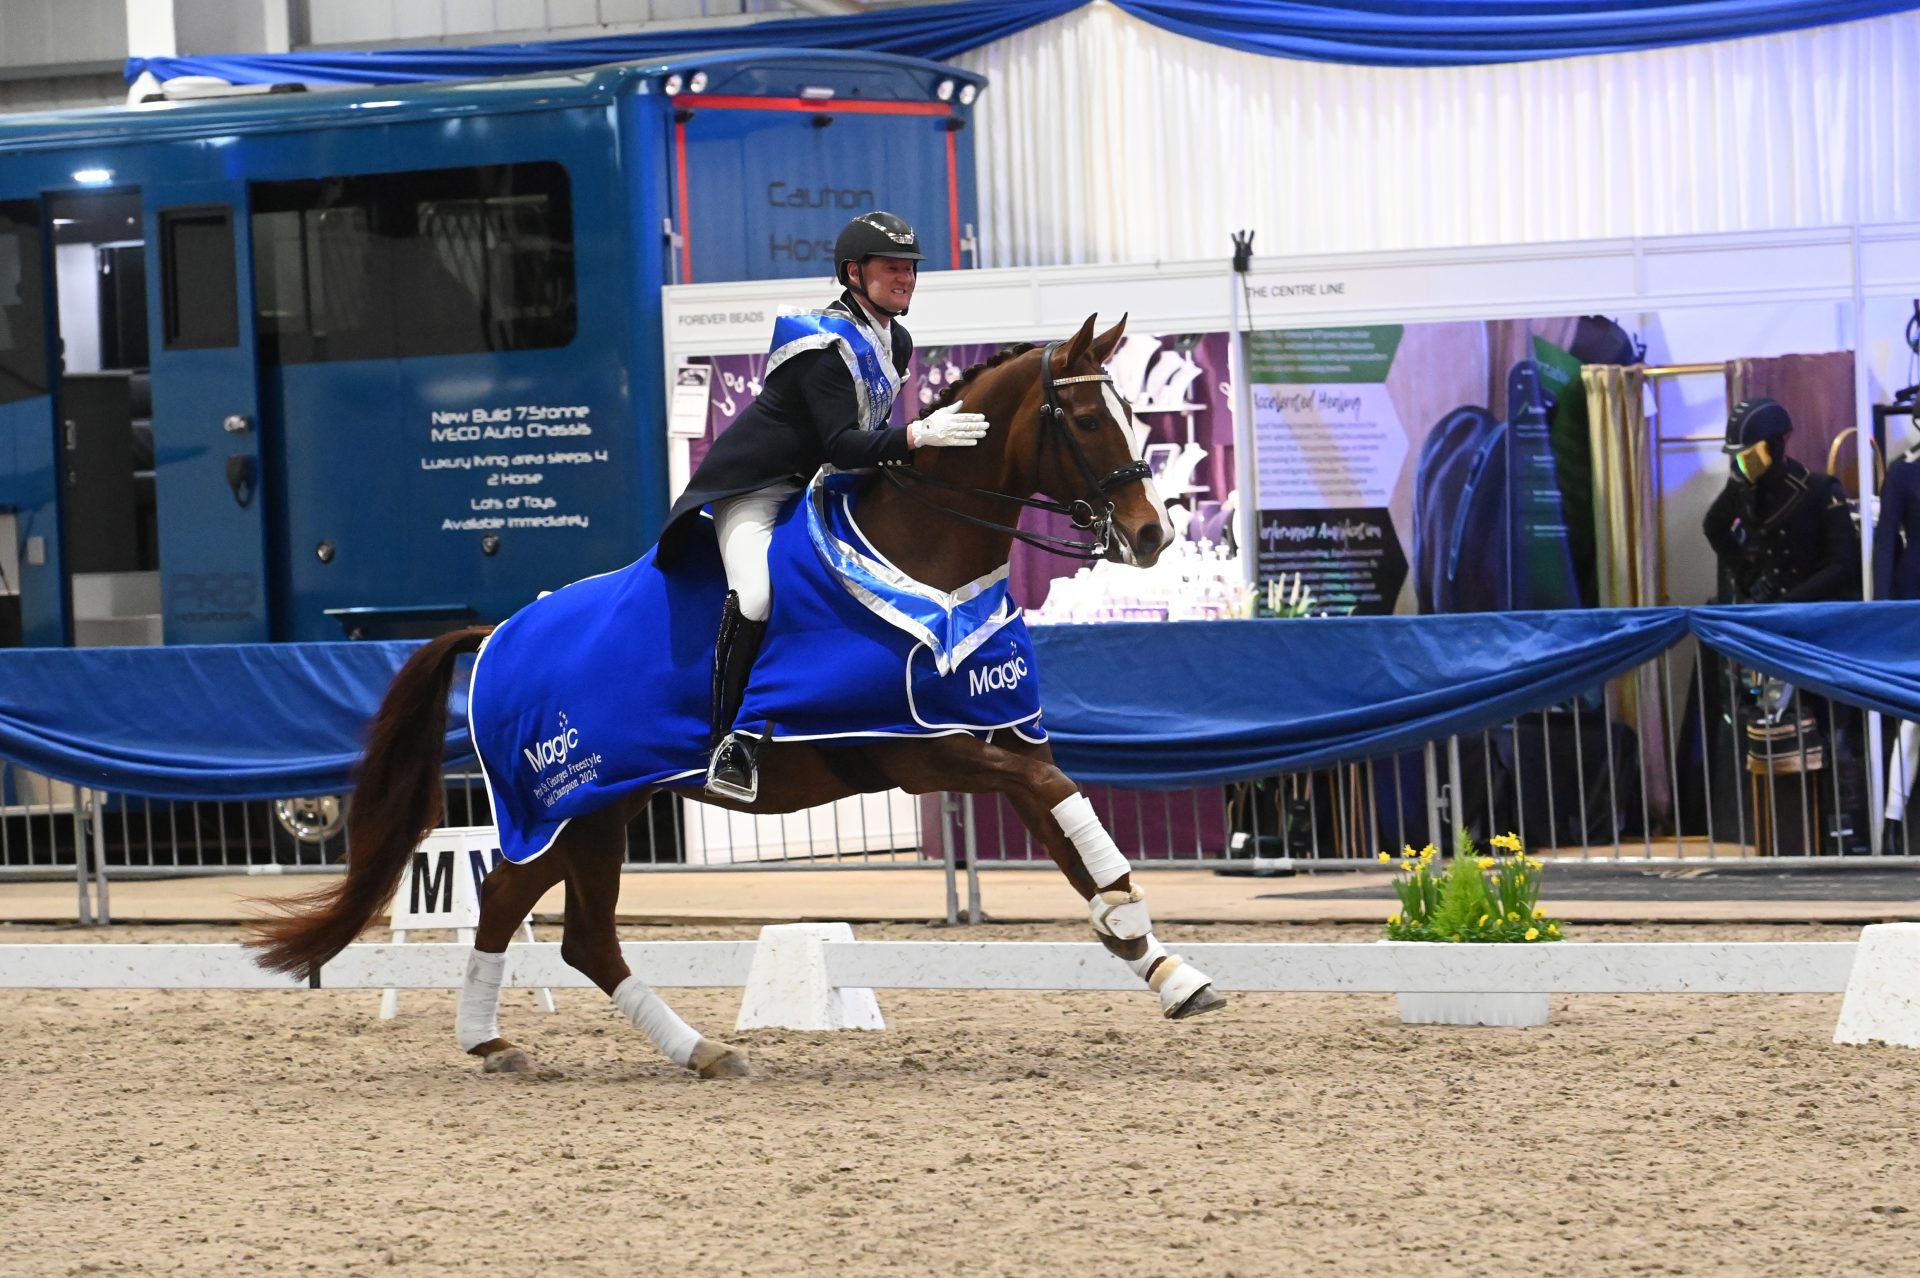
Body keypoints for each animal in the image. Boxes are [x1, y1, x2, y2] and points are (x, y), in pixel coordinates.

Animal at [248, 313, 1227, 1079]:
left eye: (1132, 414)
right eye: (1087, 420)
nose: (1148, 534)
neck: (927, 559)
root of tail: (495, 634)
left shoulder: (1007, 735)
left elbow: (1069, 827)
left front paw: (1161, 964)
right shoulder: (921, 750)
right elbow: (1060, 803)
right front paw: (1133, 925)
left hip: (605, 807)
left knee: (582, 938)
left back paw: (696, 1050)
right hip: (555, 805)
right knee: (504, 902)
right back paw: (491, 1044)